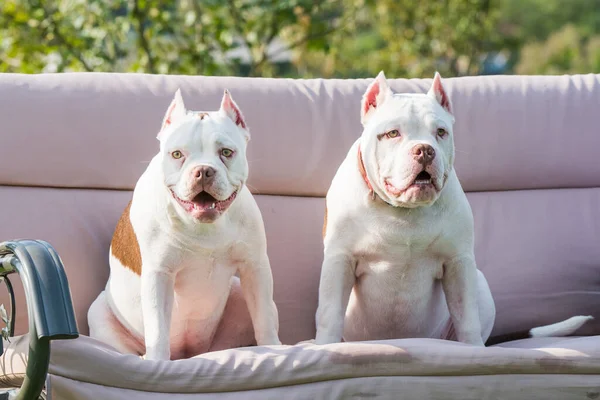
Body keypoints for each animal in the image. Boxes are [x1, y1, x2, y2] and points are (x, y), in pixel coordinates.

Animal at [88, 89, 282, 360]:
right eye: (177, 154)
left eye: (226, 152)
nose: (203, 171)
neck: (206, 228)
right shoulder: (159, 275)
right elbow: (158, 328)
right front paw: (157, 361)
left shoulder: (255, 267)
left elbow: (263, 317)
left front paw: (274, 347)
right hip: (99, 312)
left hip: (237, 292)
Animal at [314, 70, 592, 346]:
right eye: (393, 133)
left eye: (440, 132)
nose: (424, 150)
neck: (405, 212)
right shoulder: (339, 260)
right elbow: (330, 314)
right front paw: (325, 347)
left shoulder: (459, 263)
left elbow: (467, 317)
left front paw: (474, 350)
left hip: (479, 282)